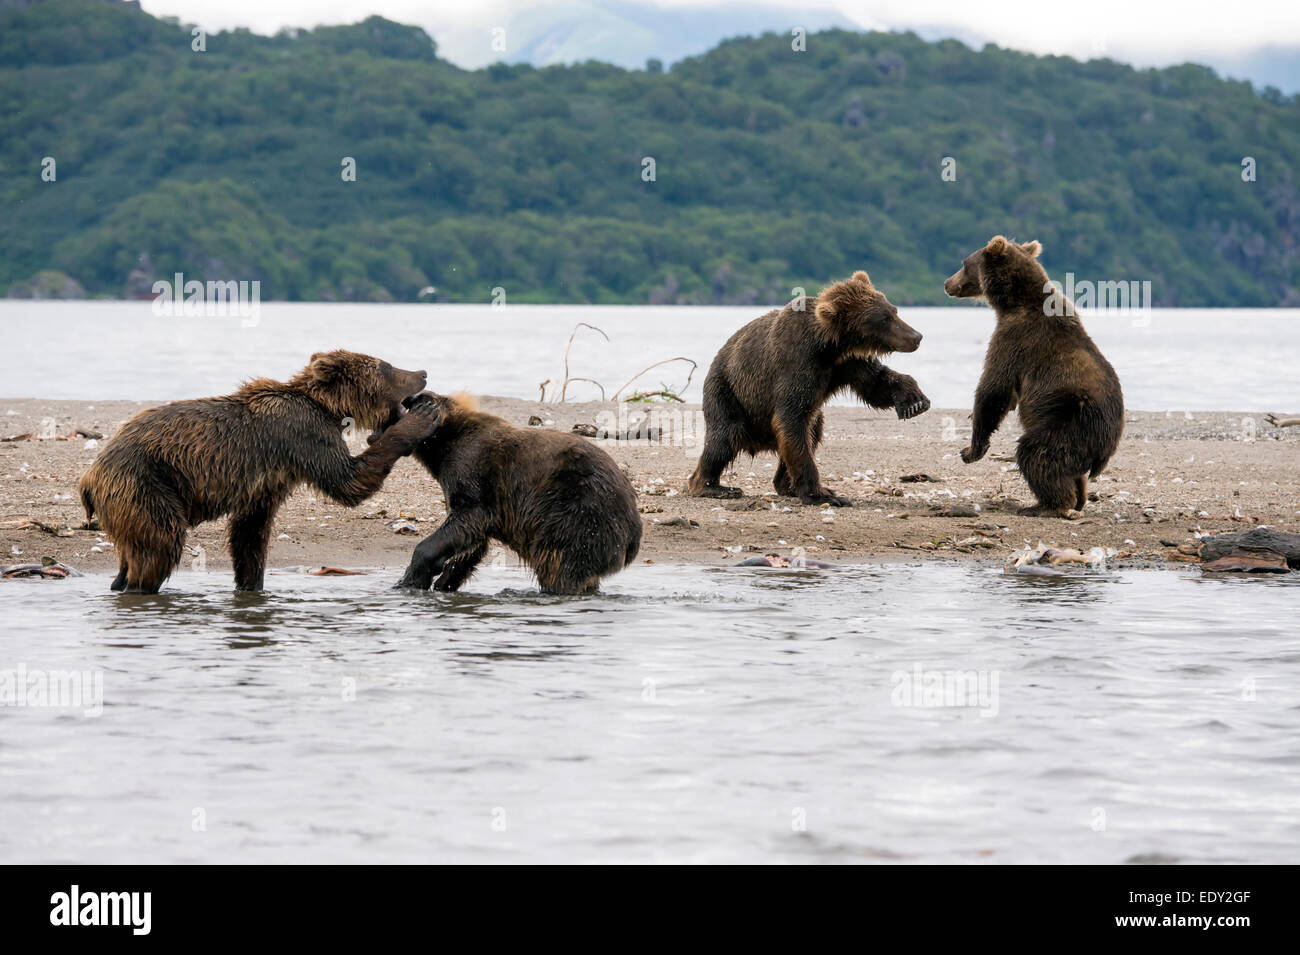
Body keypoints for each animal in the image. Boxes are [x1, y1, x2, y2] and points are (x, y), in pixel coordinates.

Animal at [78, 350, 438, 593]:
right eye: (387, 366)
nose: (423, 371)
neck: (329, 409)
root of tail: (89, 477)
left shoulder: (270, 480)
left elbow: (250, 532)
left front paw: (251, 586)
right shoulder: (304, 435)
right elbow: (348, 481)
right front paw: (421, 418)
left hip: (128, 503)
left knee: (133, 553)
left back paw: (119, 582)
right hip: (146, 484)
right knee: (160, 545)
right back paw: (141, 587)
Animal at [372, 392, 642, 595]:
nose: (371, 434)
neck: (441, 444)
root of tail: (634, 534)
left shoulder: (473, 468)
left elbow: (469, 516)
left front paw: (410, 579)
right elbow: (470, 541)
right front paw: (443, 580)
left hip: (577, 512)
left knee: (559, 563)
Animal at [687, 270, 930, 506]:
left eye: (894, 310)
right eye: (884, 319)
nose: (917, 337)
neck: (829, 347)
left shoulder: (848, 362)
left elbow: (875, 385)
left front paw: (915, 402)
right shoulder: (797, 364)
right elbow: (792, 419)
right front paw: (823, 494)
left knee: (814, 429)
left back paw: (785, 485)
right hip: (728, 391)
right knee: (724, 438)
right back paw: (713, 486)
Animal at [944, 235, 1124, 516]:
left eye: (964, 263)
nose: (947, 283)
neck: (1013, 302)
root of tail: (1106, 450)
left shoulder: (1014, 340)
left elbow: (993, 390)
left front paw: (971, 449)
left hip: (1071, 422)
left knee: (1037, 453)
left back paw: (1047, 504)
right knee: (1070, 470)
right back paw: (1079, 498)